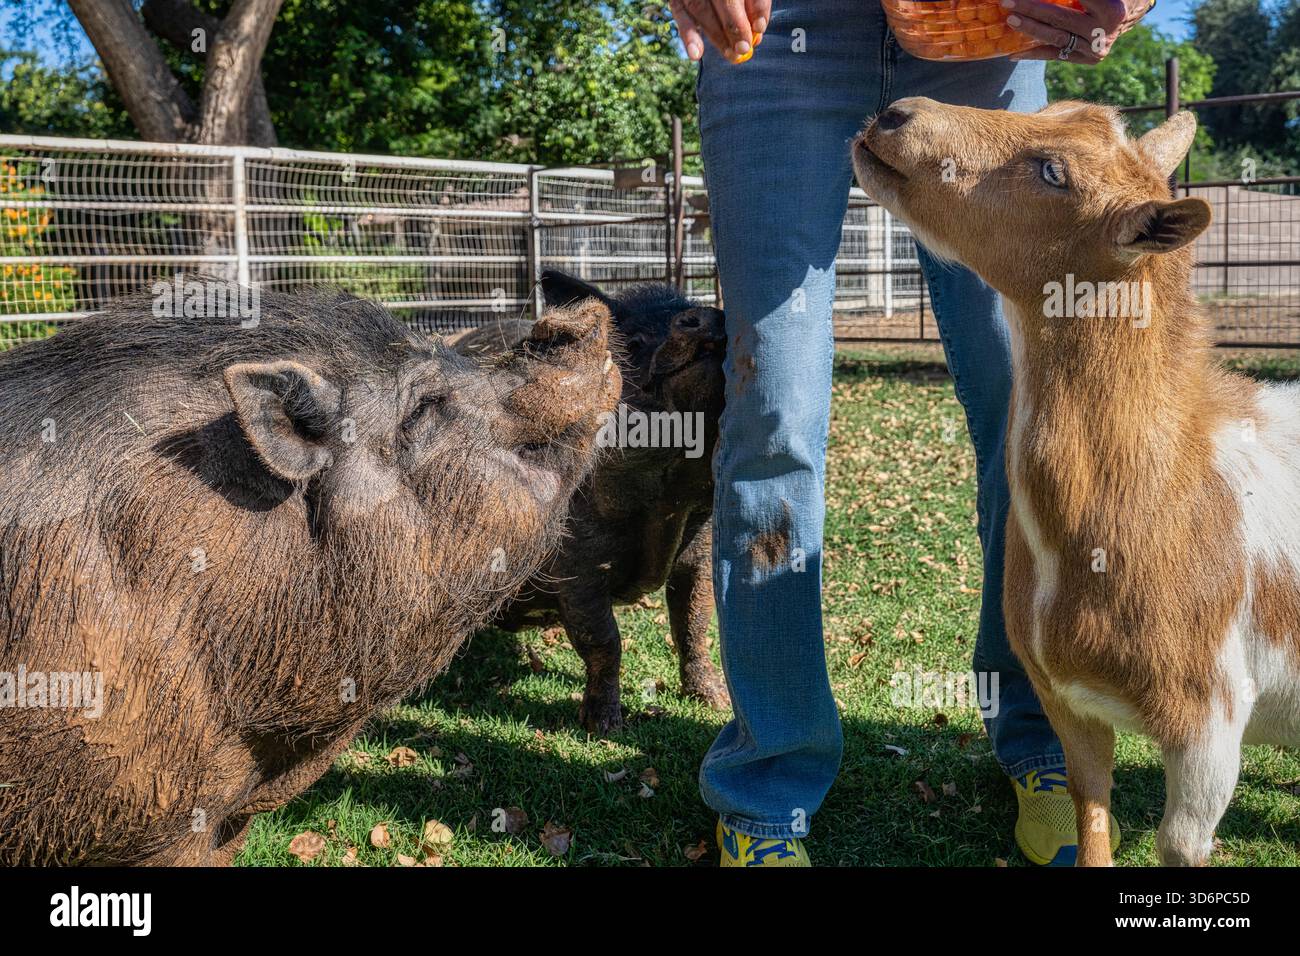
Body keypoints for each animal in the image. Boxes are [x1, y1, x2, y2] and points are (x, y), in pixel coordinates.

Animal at [449, 272, 728, 733]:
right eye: (634, 341)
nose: (705, 316)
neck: (664, 506)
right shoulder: (576, 567)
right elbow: (604, 641)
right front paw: (605, 727)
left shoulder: (701, 546)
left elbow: (694, 625)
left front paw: (715, 703)